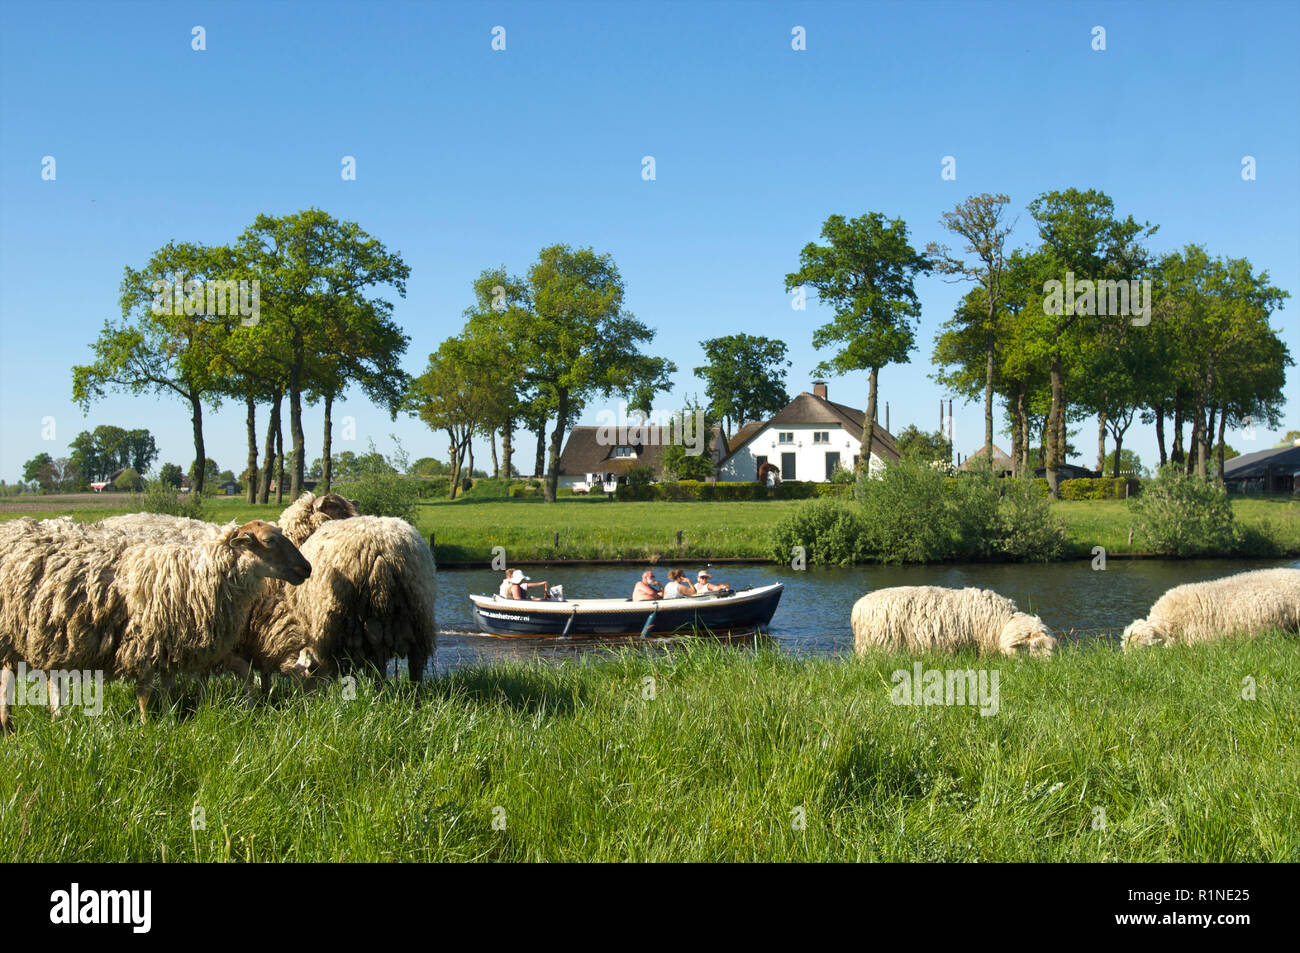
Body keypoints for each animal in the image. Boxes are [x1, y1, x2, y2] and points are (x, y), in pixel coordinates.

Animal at [0, 517, 311, 729]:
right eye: (269, 540)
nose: (306, 568)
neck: (198, 576)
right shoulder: (145, 643)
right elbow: (145, 692)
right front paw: (146, 725)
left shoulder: (176, 645)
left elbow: (172, 685)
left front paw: (174, 715)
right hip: (9, 635)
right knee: (8, 679)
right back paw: (11, 726)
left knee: (43, 678)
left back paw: (54, 722)